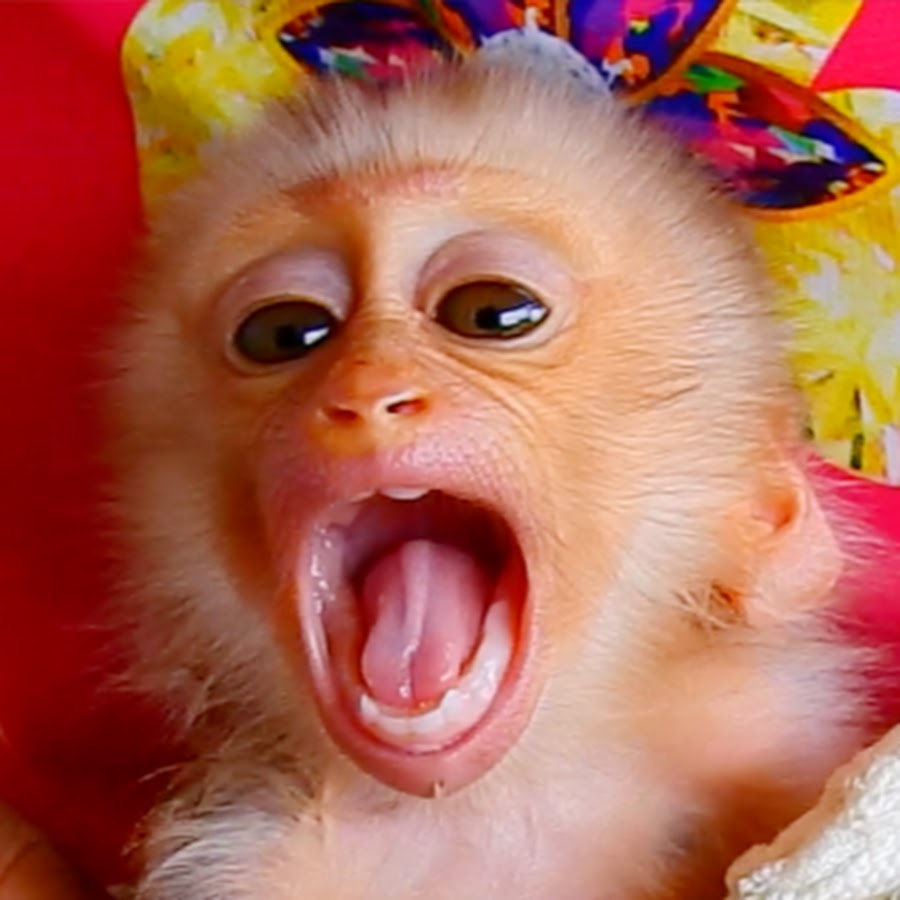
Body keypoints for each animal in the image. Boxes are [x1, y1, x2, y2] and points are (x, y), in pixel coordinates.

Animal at [106, 54, 883, 900]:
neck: (508, 797)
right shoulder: (243, 855)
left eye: (492, 312)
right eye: (285, 333)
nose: (365, 395)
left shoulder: (769, 734)